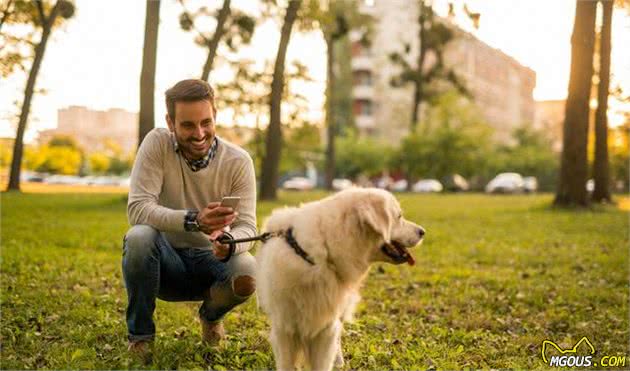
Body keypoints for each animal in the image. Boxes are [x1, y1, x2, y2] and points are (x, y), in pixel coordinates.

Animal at [256, 189, 424, 371]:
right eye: (399, 216)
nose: (423, 232)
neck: (318, 256)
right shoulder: (284, 328)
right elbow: (286, 364)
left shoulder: (326, 327)